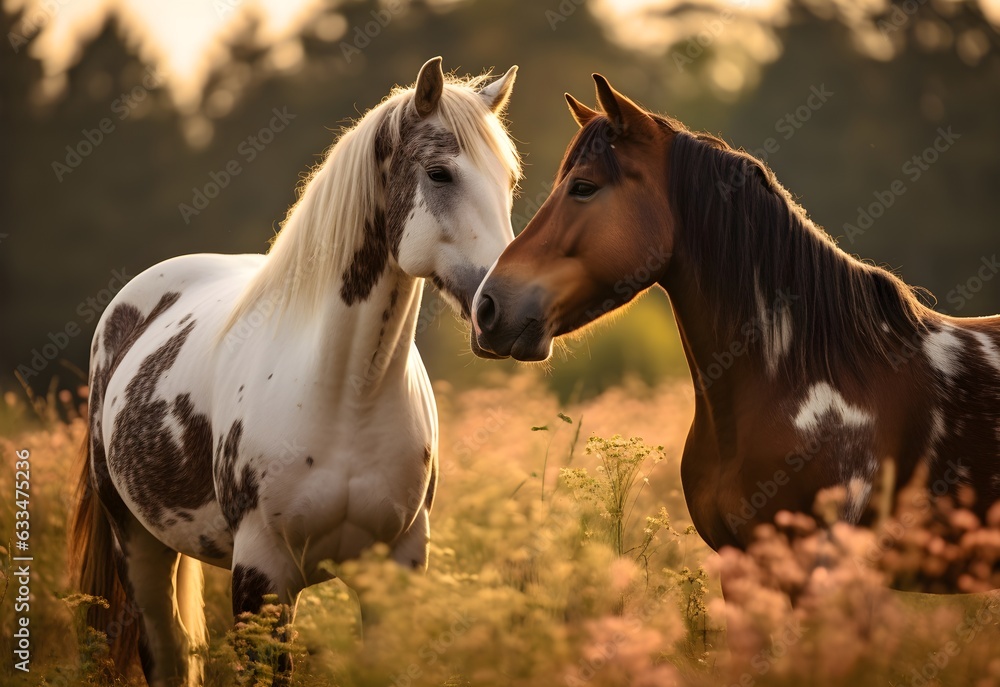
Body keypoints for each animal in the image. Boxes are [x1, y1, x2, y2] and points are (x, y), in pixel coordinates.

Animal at [71, 56, 521, 687]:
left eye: (508, 182)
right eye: (439, 174)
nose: (508, 311)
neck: (346, 395)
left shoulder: (397, 570)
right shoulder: (263, 576)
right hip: (137, 542)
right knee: (166, 649)